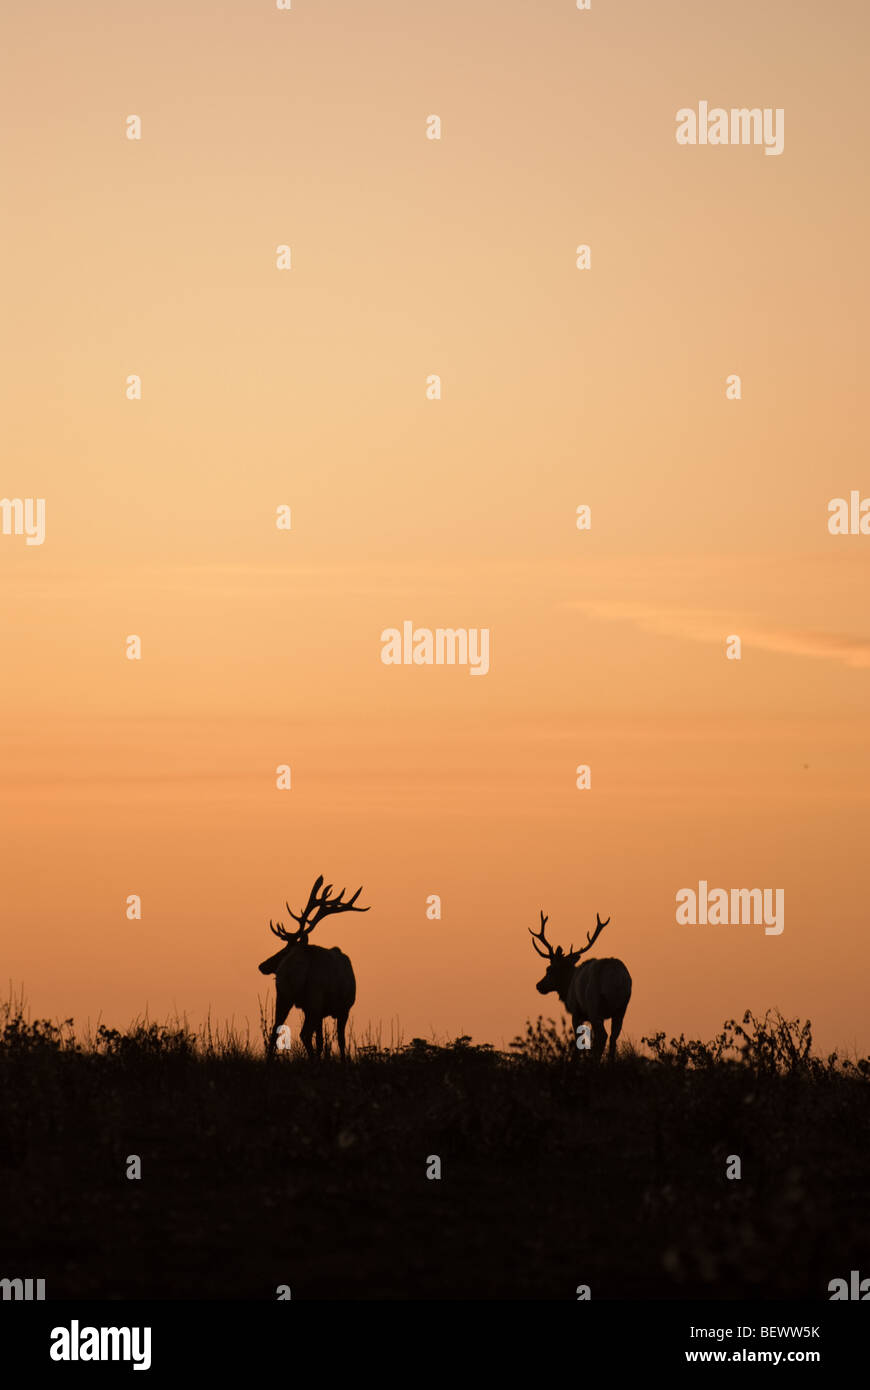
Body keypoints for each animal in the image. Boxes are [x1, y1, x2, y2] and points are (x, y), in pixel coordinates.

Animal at [258, 875, 369, 1060]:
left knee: (275, 1029)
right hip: (314, 998)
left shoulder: (323, 1012)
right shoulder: (344, 1008)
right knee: (304, 1033)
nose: (262, 965)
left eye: (285, 949)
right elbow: (340, 1041)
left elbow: (321, 1041)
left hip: (284, 995)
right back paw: (313, 1061)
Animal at [529, 910, 632, 1062]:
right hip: (622, 1007)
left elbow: (579, 1040)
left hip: (594, 1003)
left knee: (603, 1035)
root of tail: (615, 977)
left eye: (549, 969)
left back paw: (594, 1063)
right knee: (613, 1036)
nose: (539, 985)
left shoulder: (576, 1011)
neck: (567, 988)